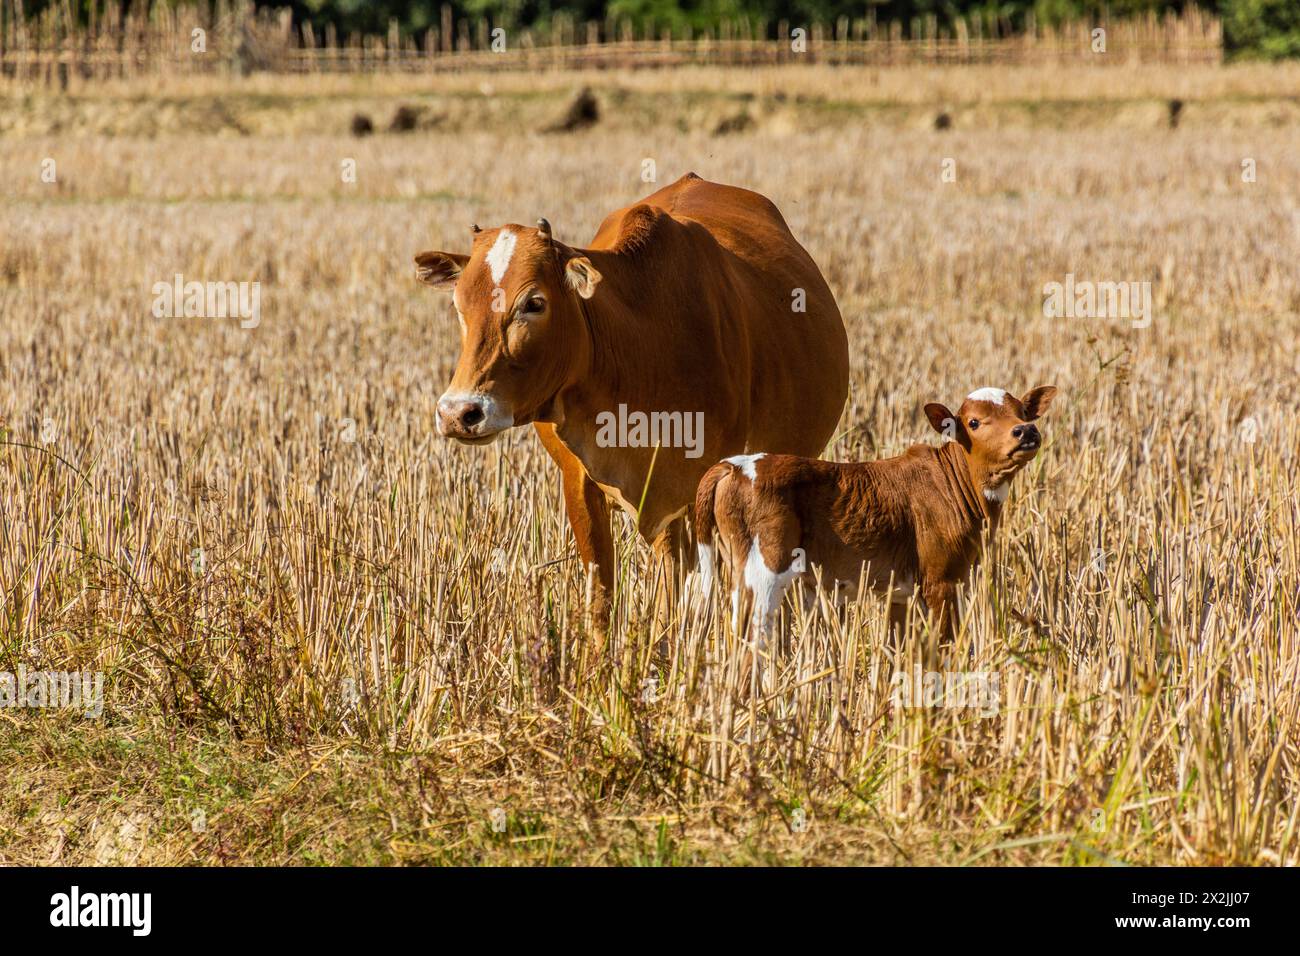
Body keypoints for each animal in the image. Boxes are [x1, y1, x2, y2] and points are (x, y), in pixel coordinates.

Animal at [694, 385, 1057, 656]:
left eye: (1023, 412)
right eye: (975, 423)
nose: (1025, 430)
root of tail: (733, 464)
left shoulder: (900, 593)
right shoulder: (940, 581)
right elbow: (945, 645)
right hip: (764, 570)